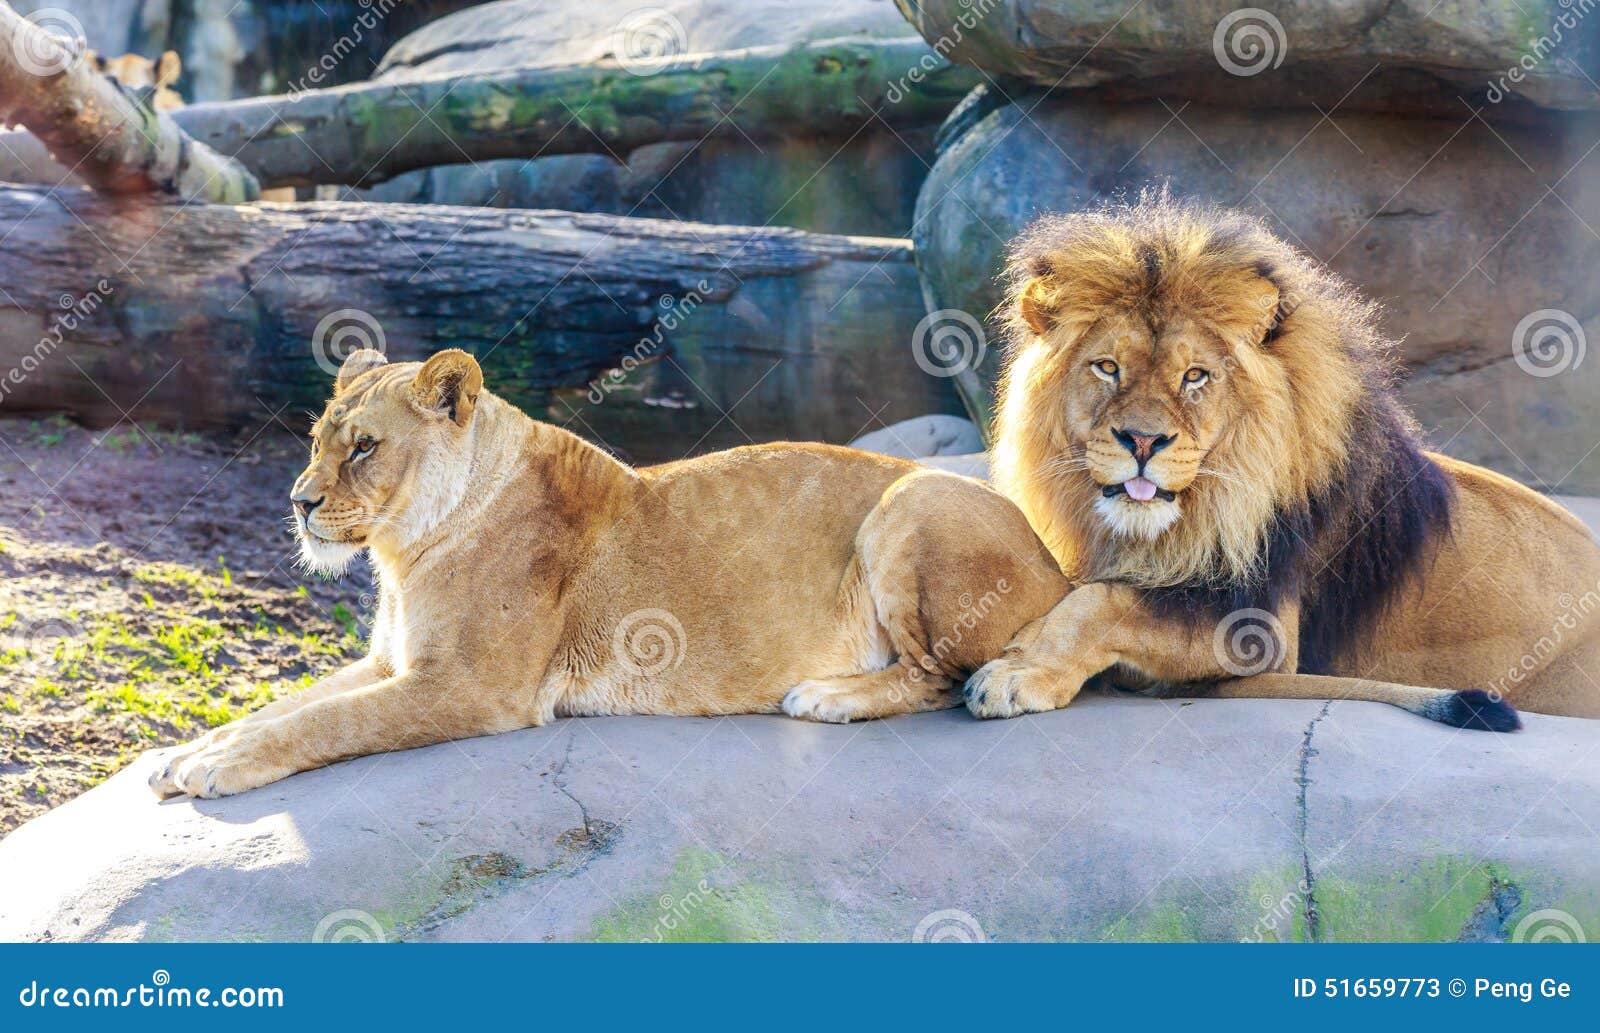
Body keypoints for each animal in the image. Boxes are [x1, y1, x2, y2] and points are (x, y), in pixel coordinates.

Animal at [148, 348, 1072, 798]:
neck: (403, 553)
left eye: (365, 446)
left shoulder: (471, 686)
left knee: (941, 675)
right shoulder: (389, 661)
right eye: (315, 441)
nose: (298, 501)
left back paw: (830, 695)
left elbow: (324, 723)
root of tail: (1051, 558)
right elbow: (284, 704)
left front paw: (218, 765)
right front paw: (187, 750)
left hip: (908, 501)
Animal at [965, 194, 1600, 727]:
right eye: (1106, 367)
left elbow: (1102, 601)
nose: (1142, 442)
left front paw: (1020, 672)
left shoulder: (1260, 626)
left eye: (1195, 376)